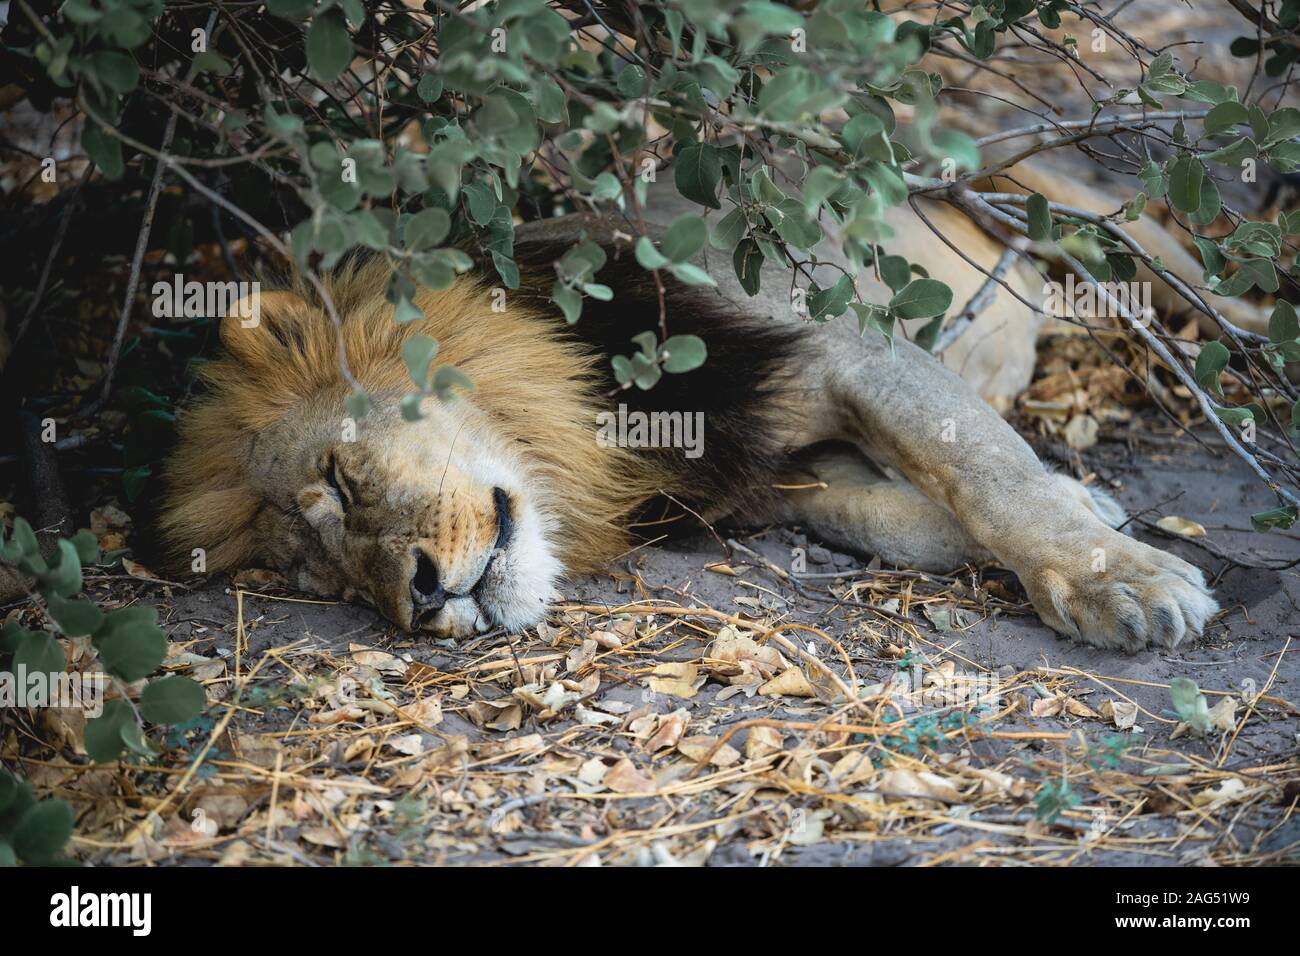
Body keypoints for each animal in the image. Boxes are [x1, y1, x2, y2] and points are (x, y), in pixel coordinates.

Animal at [159, 164, 1231, 652]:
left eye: (339, 478)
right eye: (331, 584)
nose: (420, 599)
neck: (585, 432)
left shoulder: (846, 347)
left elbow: (987, 471)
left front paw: (1117, 576)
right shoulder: (767, 473)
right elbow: (899, 520)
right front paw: (1089, 513)